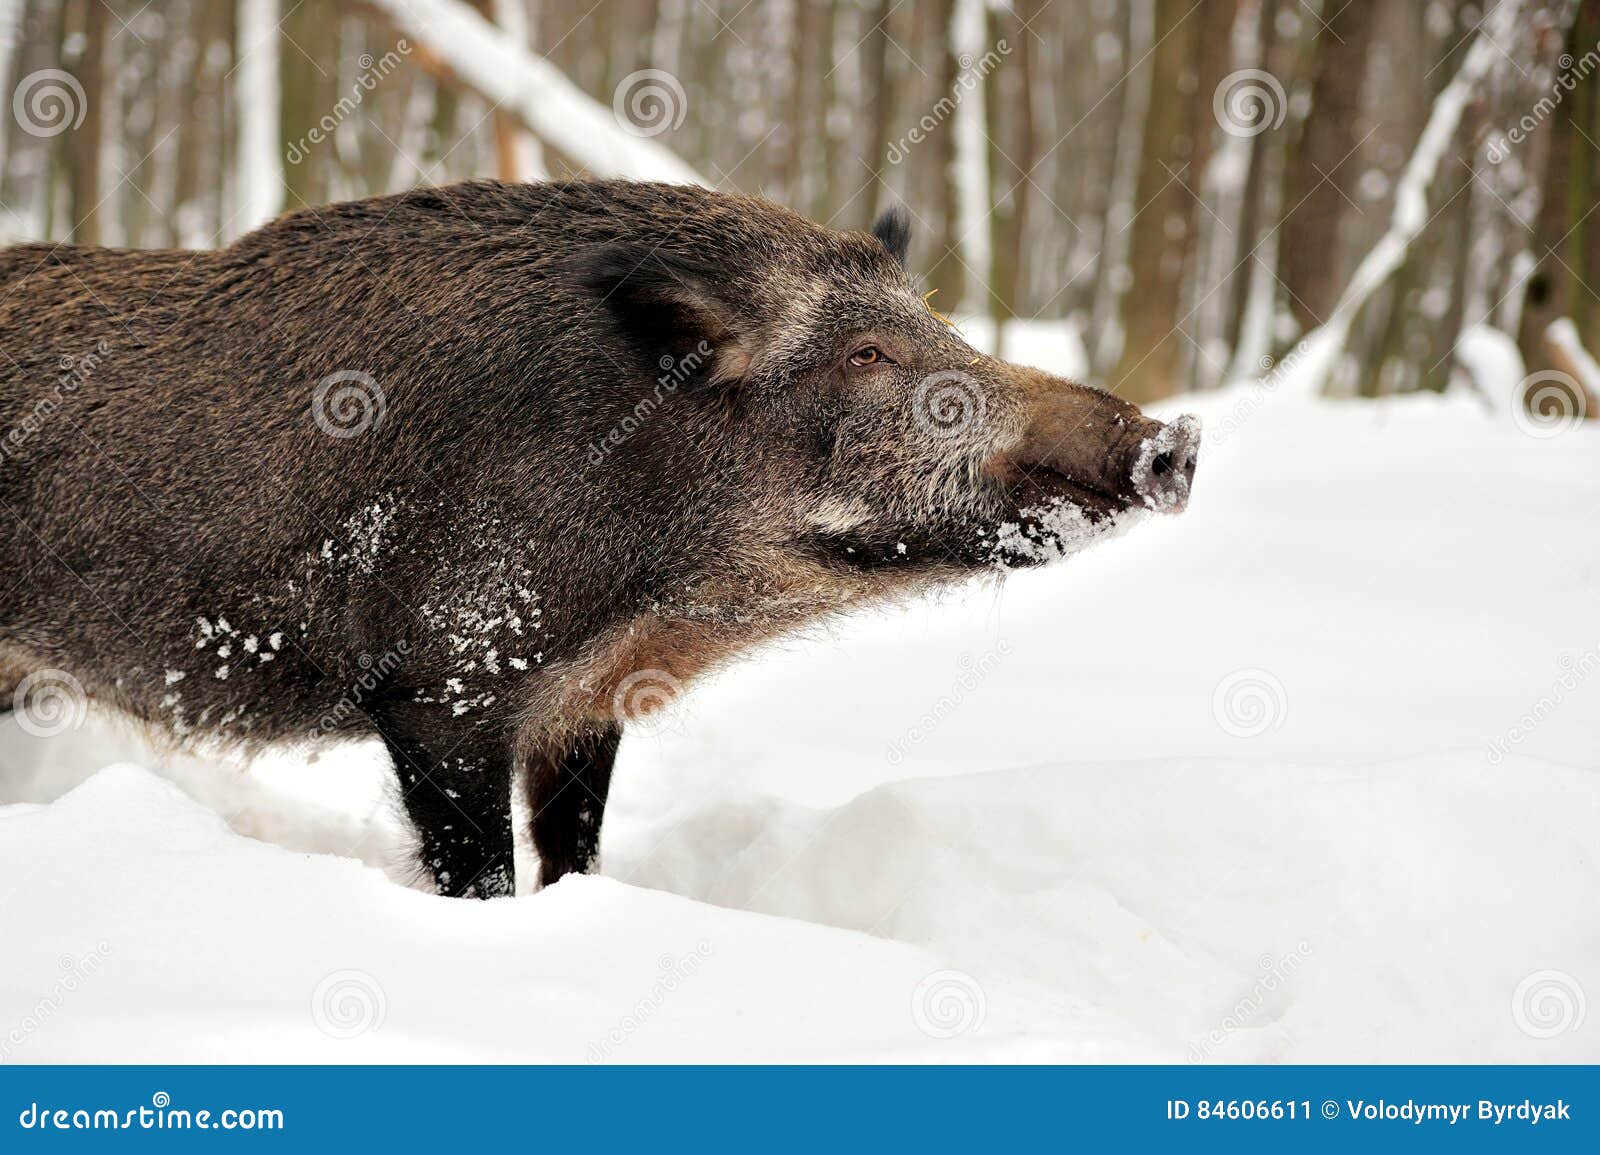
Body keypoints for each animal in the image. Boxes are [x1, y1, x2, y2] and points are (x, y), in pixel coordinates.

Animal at [0, 180, 1198, 897]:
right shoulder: (443, 683)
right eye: (866, 354)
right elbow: (479, 871)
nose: (1173, 440)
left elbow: (574, 853)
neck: (662, 598)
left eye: (940, 322)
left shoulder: (585, 706)